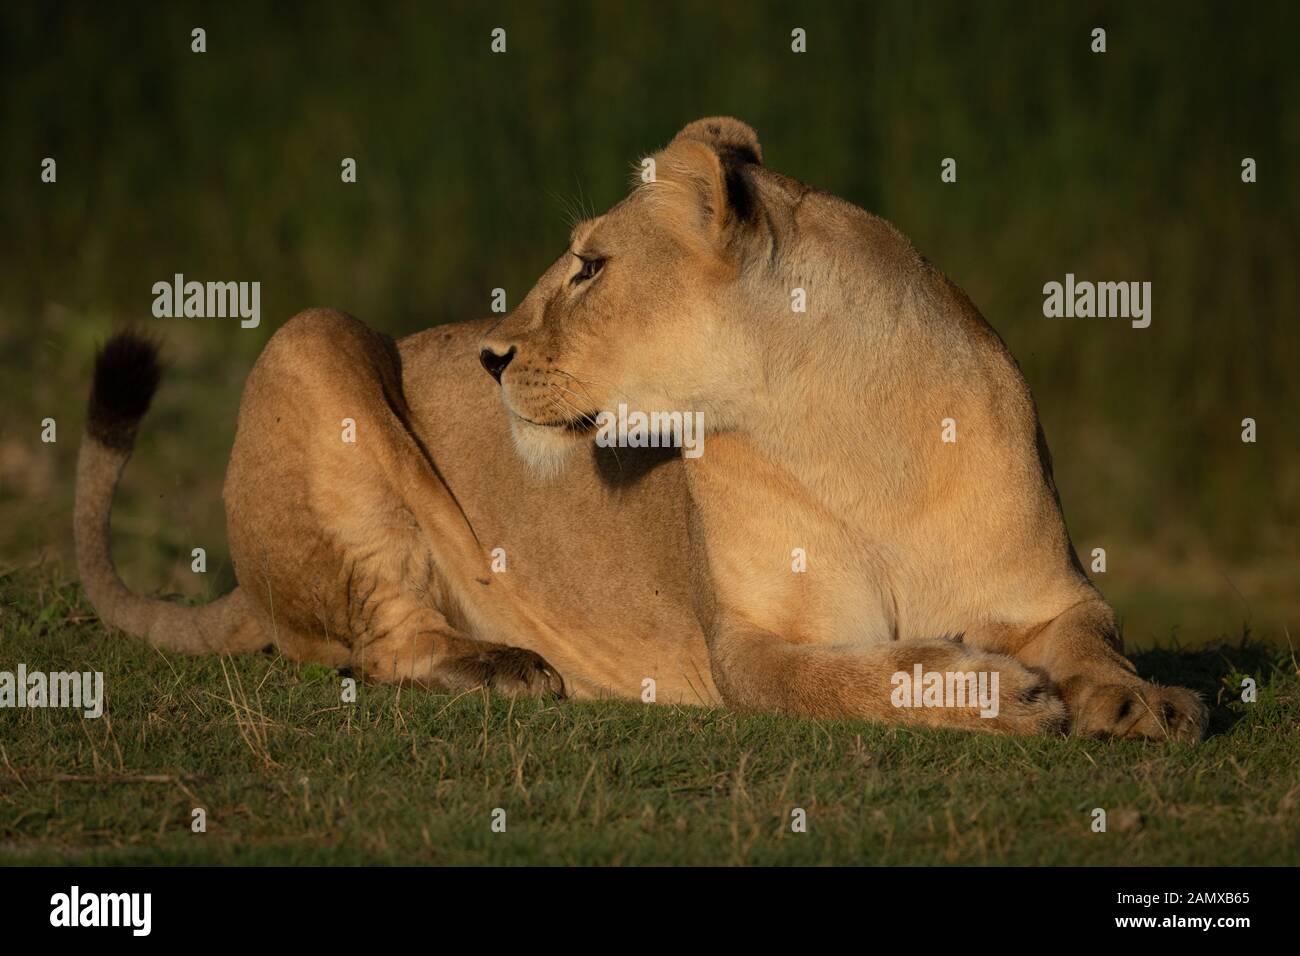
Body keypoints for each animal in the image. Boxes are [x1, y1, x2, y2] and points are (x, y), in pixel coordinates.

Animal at [74, 117, 1208, 741]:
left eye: (589, 267)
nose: (489, 355)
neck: (843, 441)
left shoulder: (1052, 591)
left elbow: (1095, 637)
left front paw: (1139, 702)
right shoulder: (746, 648)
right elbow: (852, 674)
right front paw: (996, 690)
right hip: (313, 340)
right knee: (379, 641)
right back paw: (504, 666)